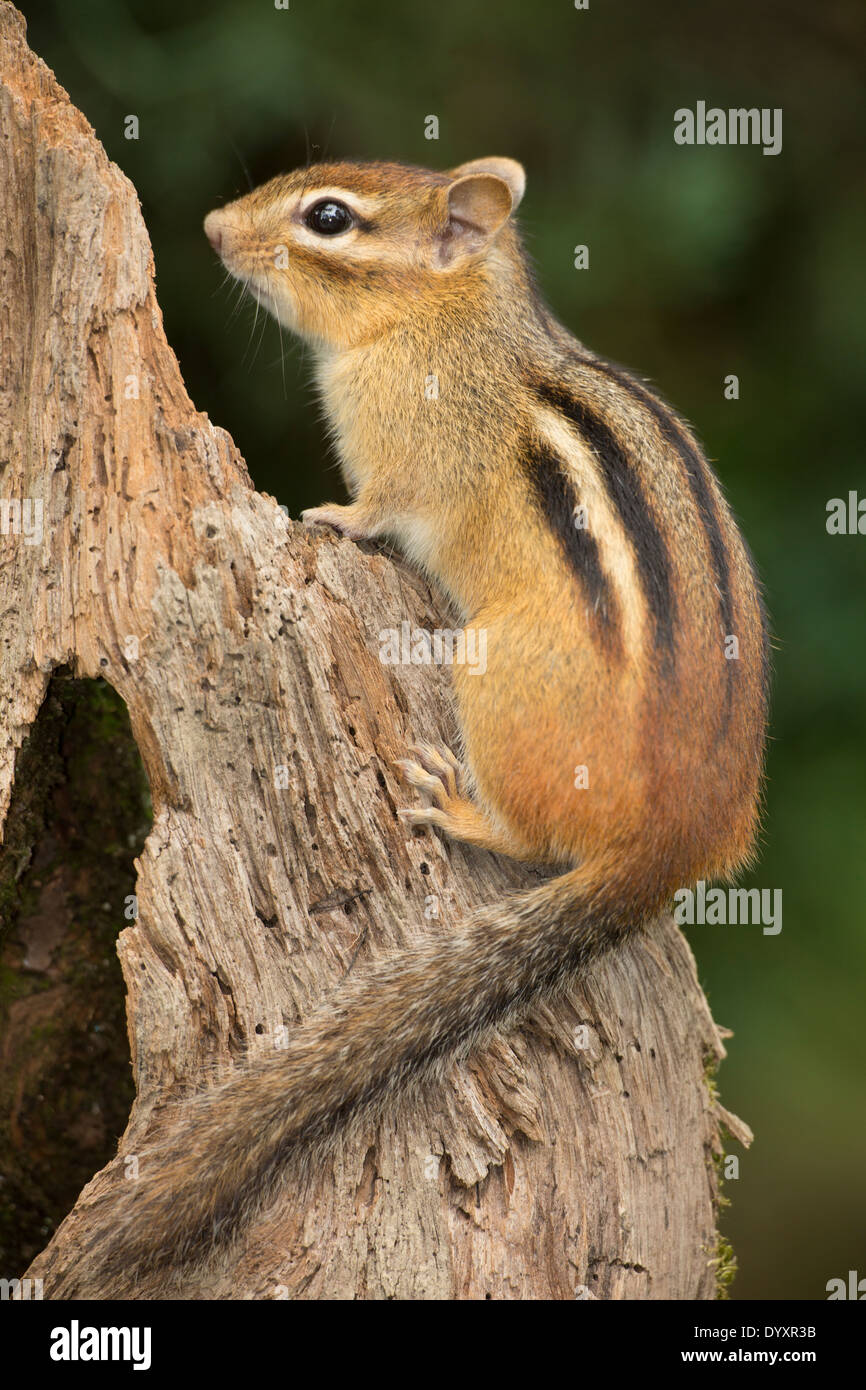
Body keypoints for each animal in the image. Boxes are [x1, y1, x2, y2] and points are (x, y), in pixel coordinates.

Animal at [69, 157, 769, 1295]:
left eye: (328, 217)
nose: (212, 228)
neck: (446, 324)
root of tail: (674, 845)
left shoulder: (400, 453)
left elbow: (378, 506)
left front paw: (326, 517)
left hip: (490, 675)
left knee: (534, 837)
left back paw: (457, 805)